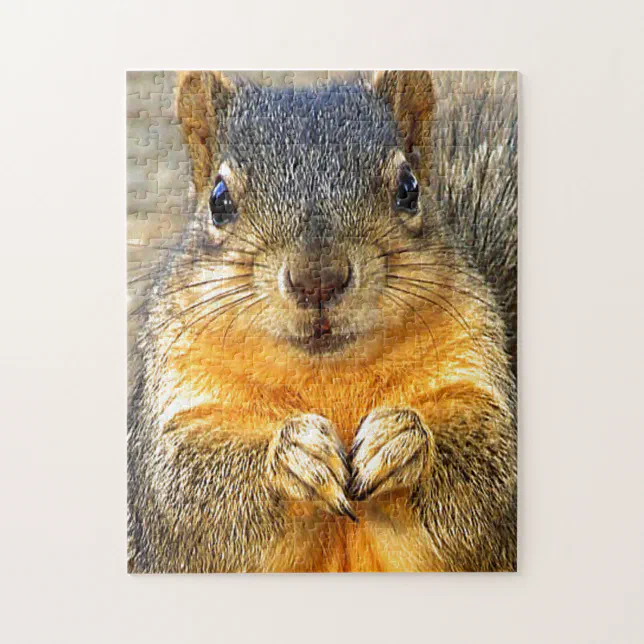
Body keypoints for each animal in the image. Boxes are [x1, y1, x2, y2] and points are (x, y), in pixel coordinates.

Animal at [128, 70, 518, 573]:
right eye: (219, 200)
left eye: (409, 188)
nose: (318, 278)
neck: (327, 373)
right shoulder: (177, 409)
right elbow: (187, 496)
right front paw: (293, 454)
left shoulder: (476, 371)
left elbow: (491, 486)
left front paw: (402, 439)